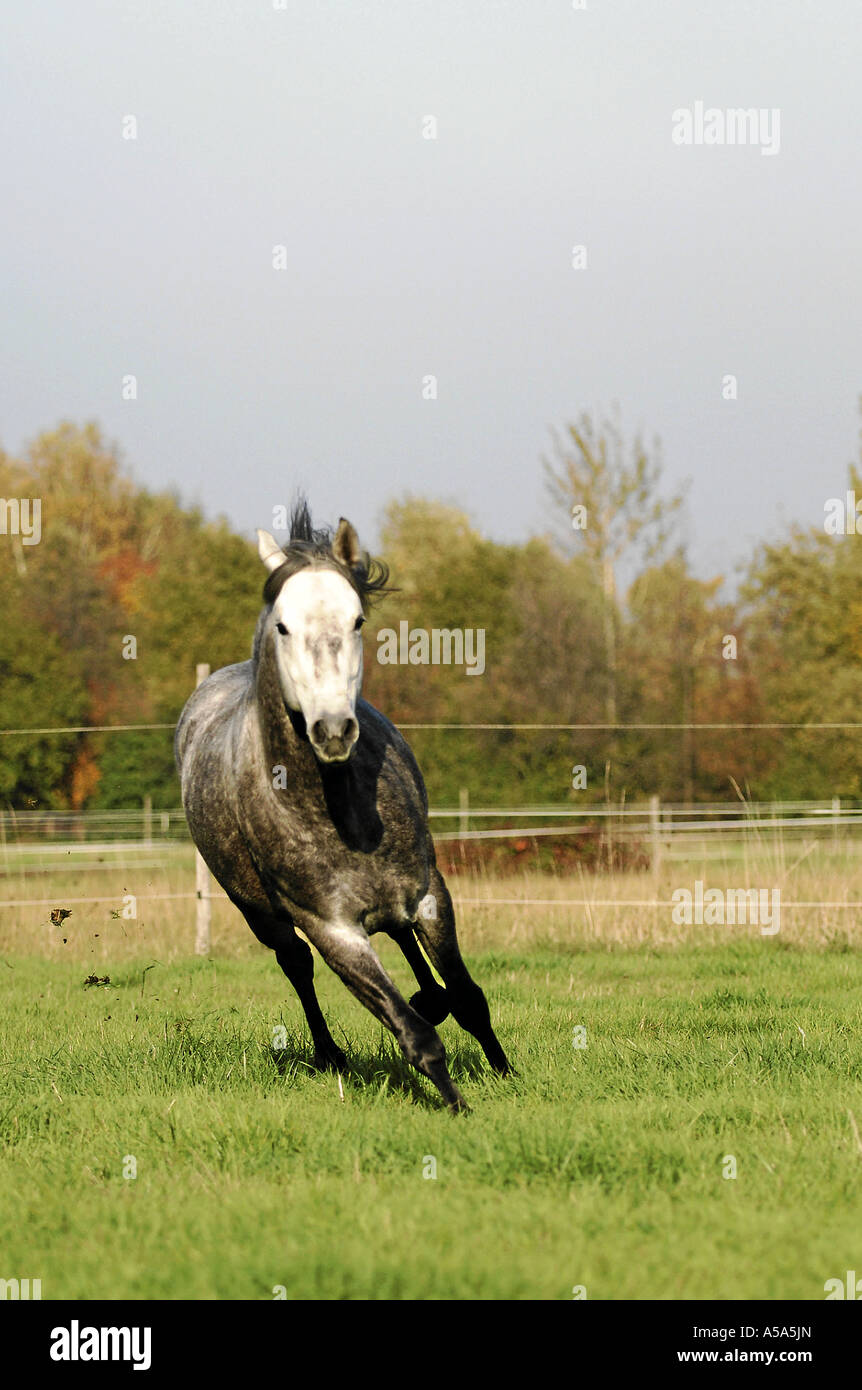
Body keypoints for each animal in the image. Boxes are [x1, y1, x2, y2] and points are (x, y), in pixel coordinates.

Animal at [174, 499, 511, 1112]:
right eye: (282, 625)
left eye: (356, 621)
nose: (332, 729)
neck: (332, 809)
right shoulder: (334, 932)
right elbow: (414, 1034)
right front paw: (458, 1107)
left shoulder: (429, 895)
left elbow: (468, 997)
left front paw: (505, 1073)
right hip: (260, 915)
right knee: (296, 965)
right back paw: (330, 1055)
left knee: (403, 941)